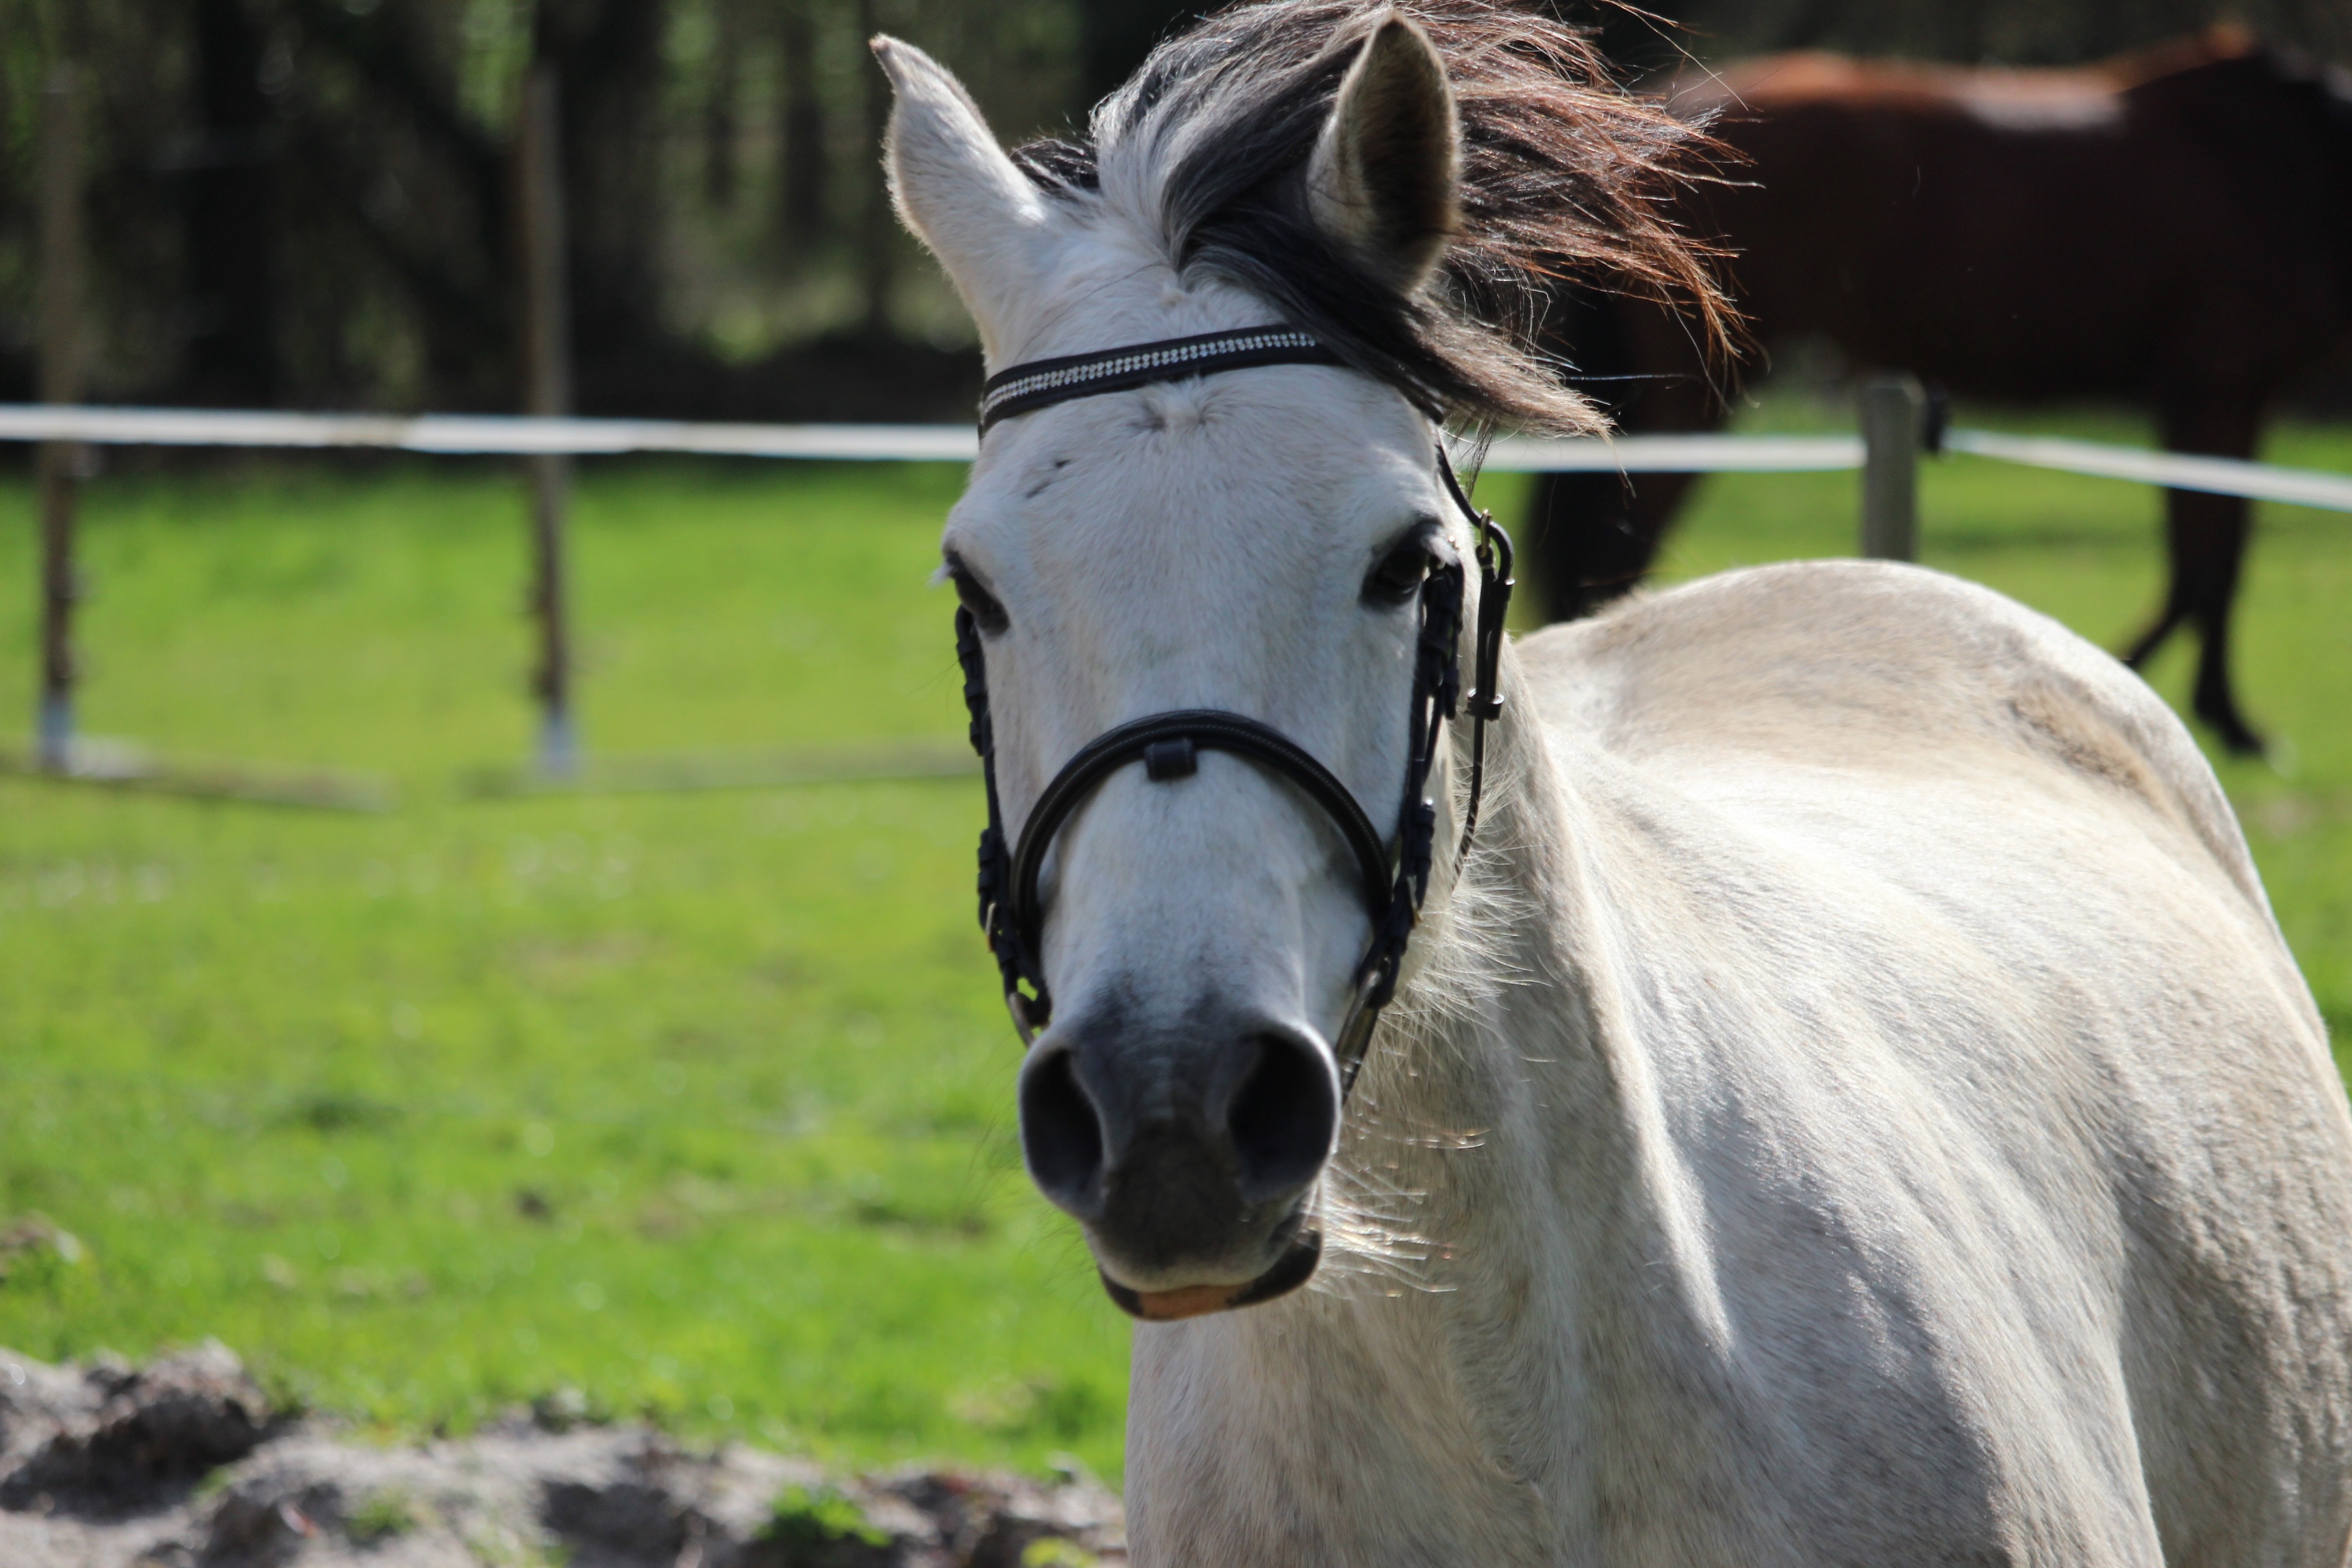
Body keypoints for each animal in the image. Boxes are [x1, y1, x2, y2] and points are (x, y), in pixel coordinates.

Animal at [1528, 28, 2352, 757]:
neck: (2290, 161)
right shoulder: (2216, 389)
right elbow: (2209, 566)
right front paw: (2207, 713)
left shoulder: (2222, 400)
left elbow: (2212, 561)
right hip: (1698, 392)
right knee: (1620, 544)